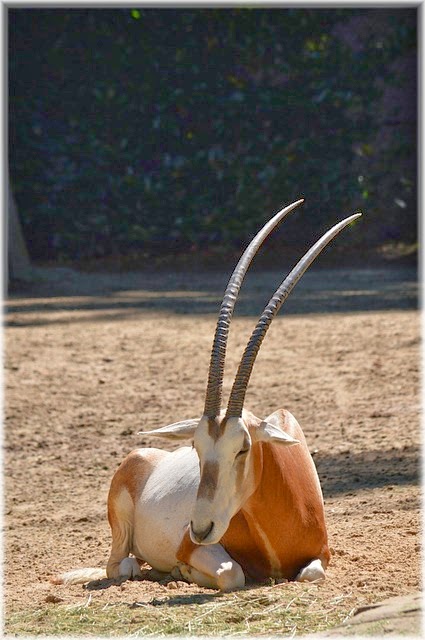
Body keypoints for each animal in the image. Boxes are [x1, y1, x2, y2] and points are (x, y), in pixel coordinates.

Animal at [56, 199, 361, 591]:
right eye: (196, 448)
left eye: (243, 448)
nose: (200, 529)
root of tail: (144, 455)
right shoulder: (194, 549)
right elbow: (233, 574)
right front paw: (184, 572)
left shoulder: (321, 555)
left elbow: (312, 573)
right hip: (122, 529)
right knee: (119, 566)